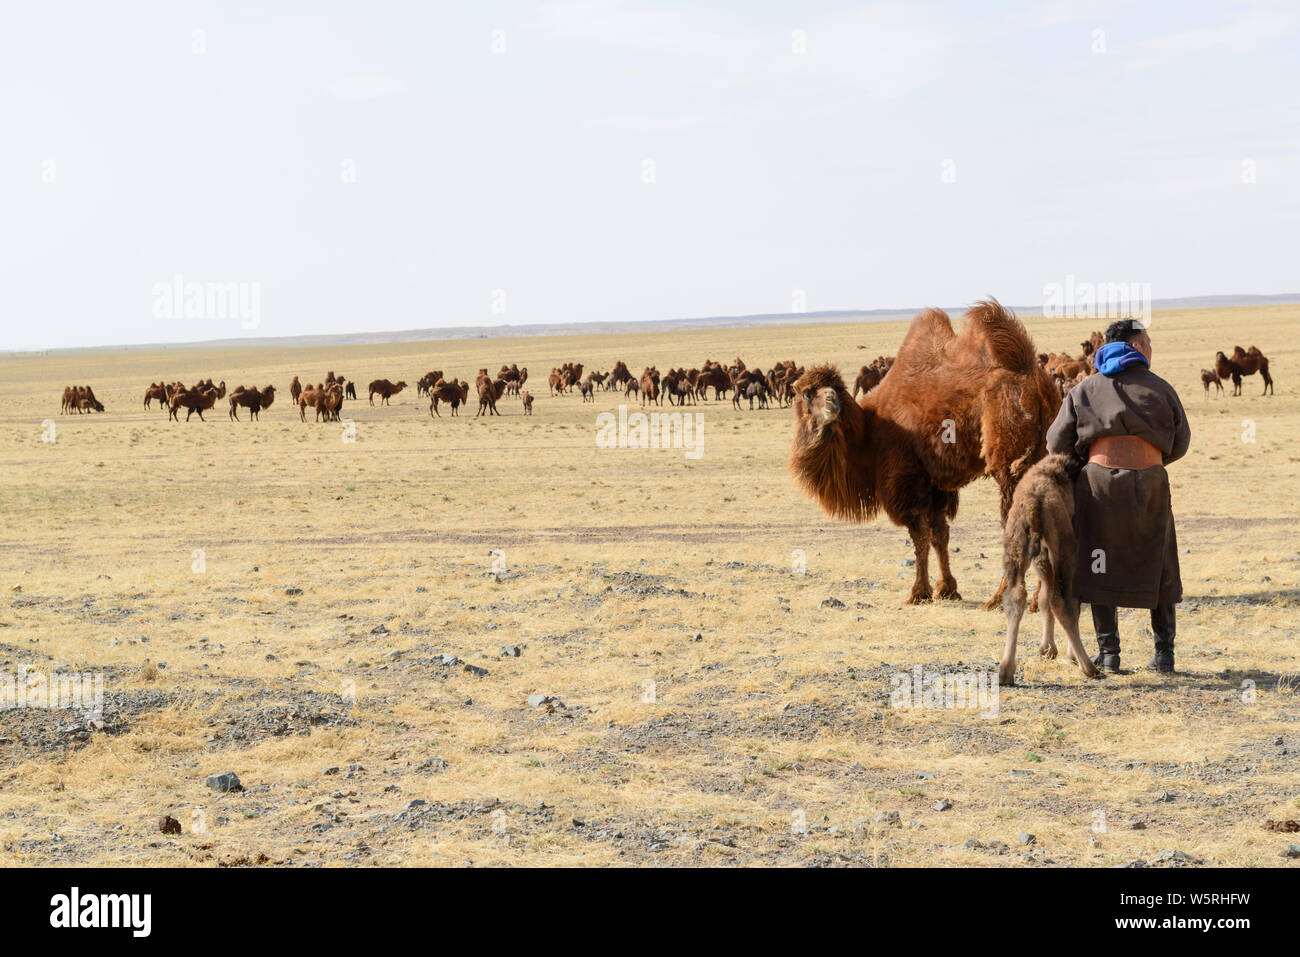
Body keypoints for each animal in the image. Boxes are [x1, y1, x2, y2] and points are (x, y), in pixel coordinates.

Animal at [789, 299, 1059, 607]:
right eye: (807, 393)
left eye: (835, 389)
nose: (832, 402)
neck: (871, 430)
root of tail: (1038, 385)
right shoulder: (934, 484)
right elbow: (939, 534)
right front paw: (947, 589)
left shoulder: (905, 479)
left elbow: (919, 535)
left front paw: (918, 593)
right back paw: (1036, 600)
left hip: (1008, 465)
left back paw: (999, 599)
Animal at [997, 453, 1101, 686]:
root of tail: (1032, 503)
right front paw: (1068, 655)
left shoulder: (1042, 557)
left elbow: (1043, 598)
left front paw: (1047, 650)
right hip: (1065, 546)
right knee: (1062, 602)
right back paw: (1089, 667)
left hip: (1016, 542)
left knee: (1015, 596)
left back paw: (1006, 671)